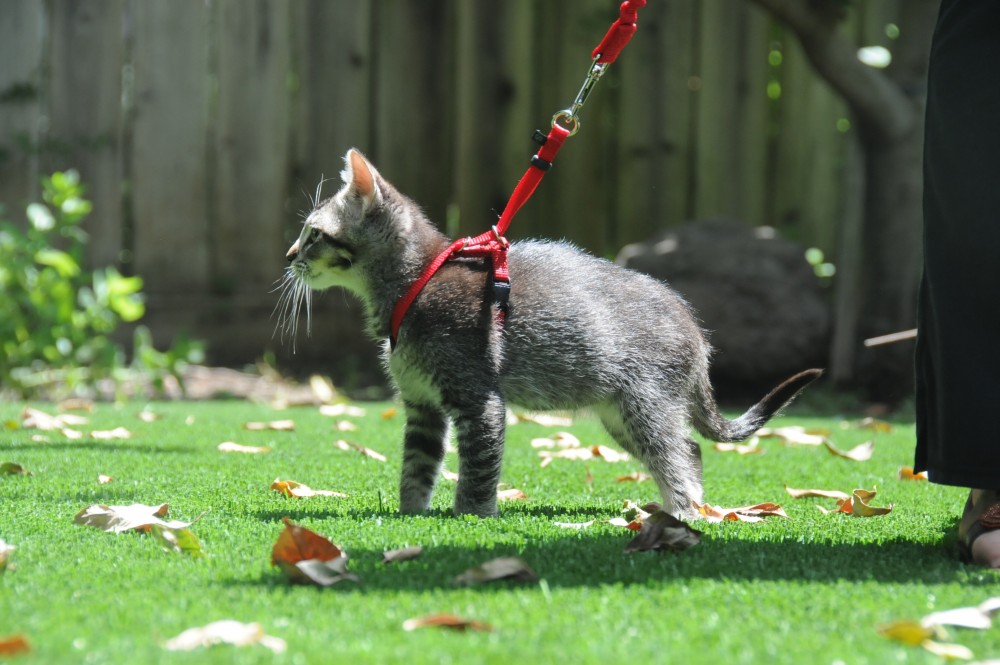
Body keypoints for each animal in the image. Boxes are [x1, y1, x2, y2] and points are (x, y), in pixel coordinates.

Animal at [282, 149, 820, 520]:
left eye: (313, 234)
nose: (289, 255)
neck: (420, 281)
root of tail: (696, 332)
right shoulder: (422, 406)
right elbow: (417, 466)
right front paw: (409, 514)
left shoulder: (478, 398)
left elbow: (478, 467)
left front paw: (470, 516)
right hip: (620, 415)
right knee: (691, 448)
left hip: (646, 405)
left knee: (677, 452)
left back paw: (686, 512)